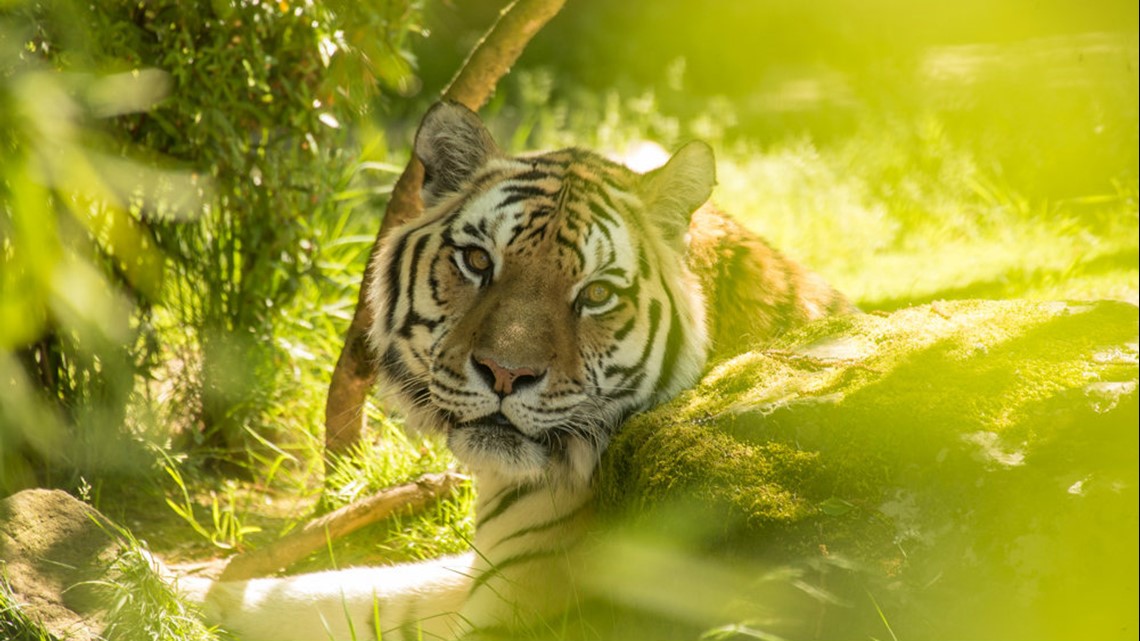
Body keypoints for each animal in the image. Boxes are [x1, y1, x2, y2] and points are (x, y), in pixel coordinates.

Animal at [183, 101, 852, 640]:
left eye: (597, 293)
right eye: (479, 260)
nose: (505, 374)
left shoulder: (512, 605)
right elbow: (349, 584)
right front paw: (185, 584)